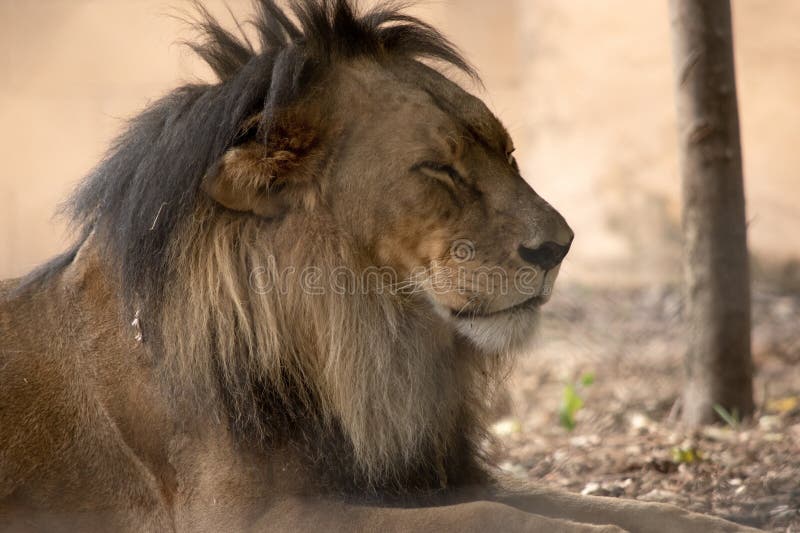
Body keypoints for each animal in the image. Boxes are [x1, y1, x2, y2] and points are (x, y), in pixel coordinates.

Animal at [0, 1, 756, 531]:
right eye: (440, 169)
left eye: (507, 153)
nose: (560, 246)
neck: (369, 341)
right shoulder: (252, 517)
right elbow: (497, 517)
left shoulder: (430, 471)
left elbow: (607, 504)